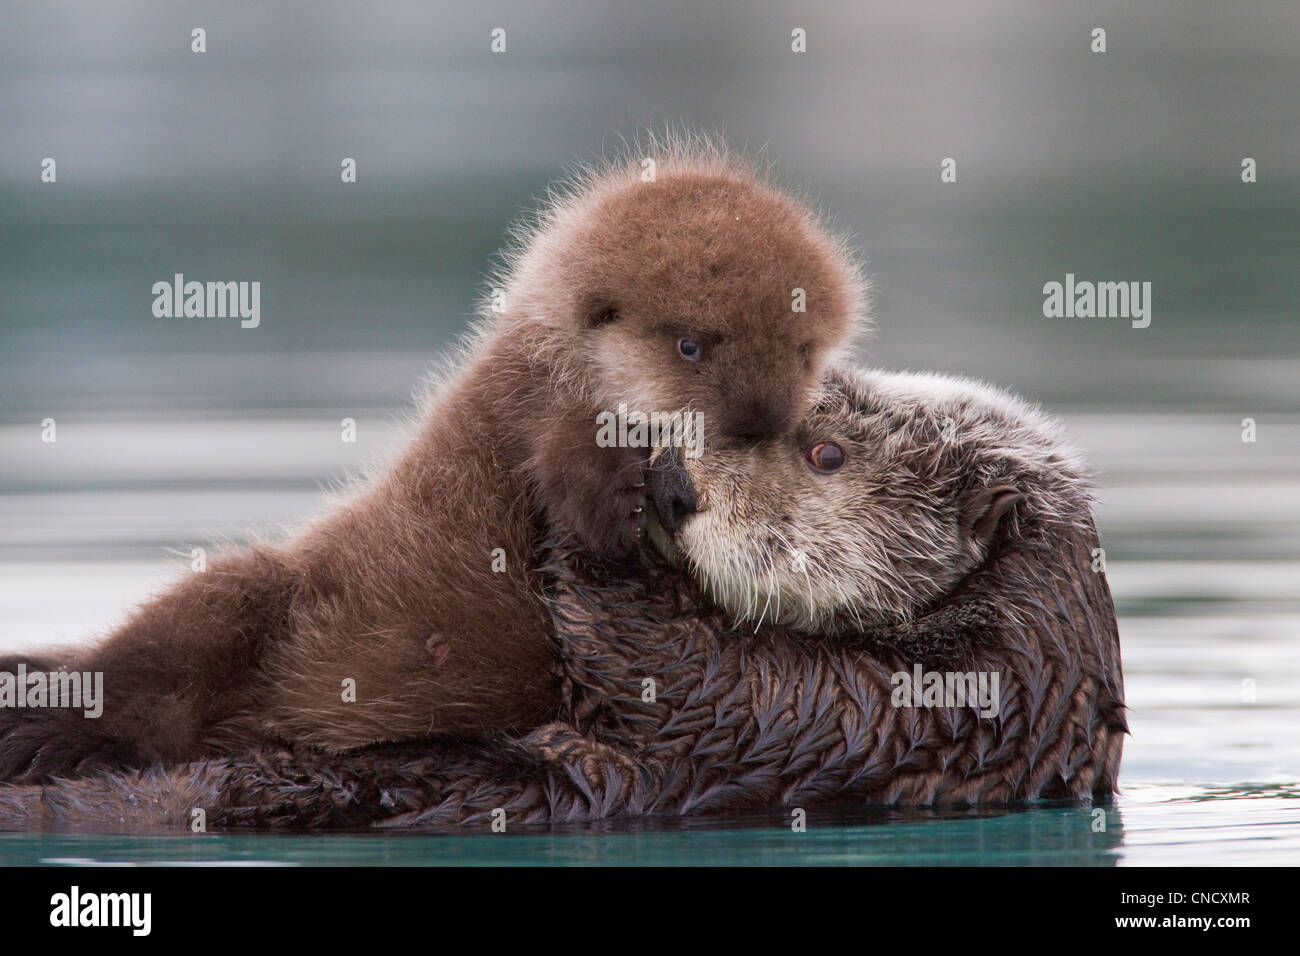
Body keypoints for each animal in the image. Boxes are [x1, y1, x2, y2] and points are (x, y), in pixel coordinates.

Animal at [0, 135, 867, 783]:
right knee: (141, 676)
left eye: (803, 350)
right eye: (690, 345)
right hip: (242, 598)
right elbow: (574, 483)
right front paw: (622, 498)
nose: (761, 417)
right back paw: (54, 724)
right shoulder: (538, 409)